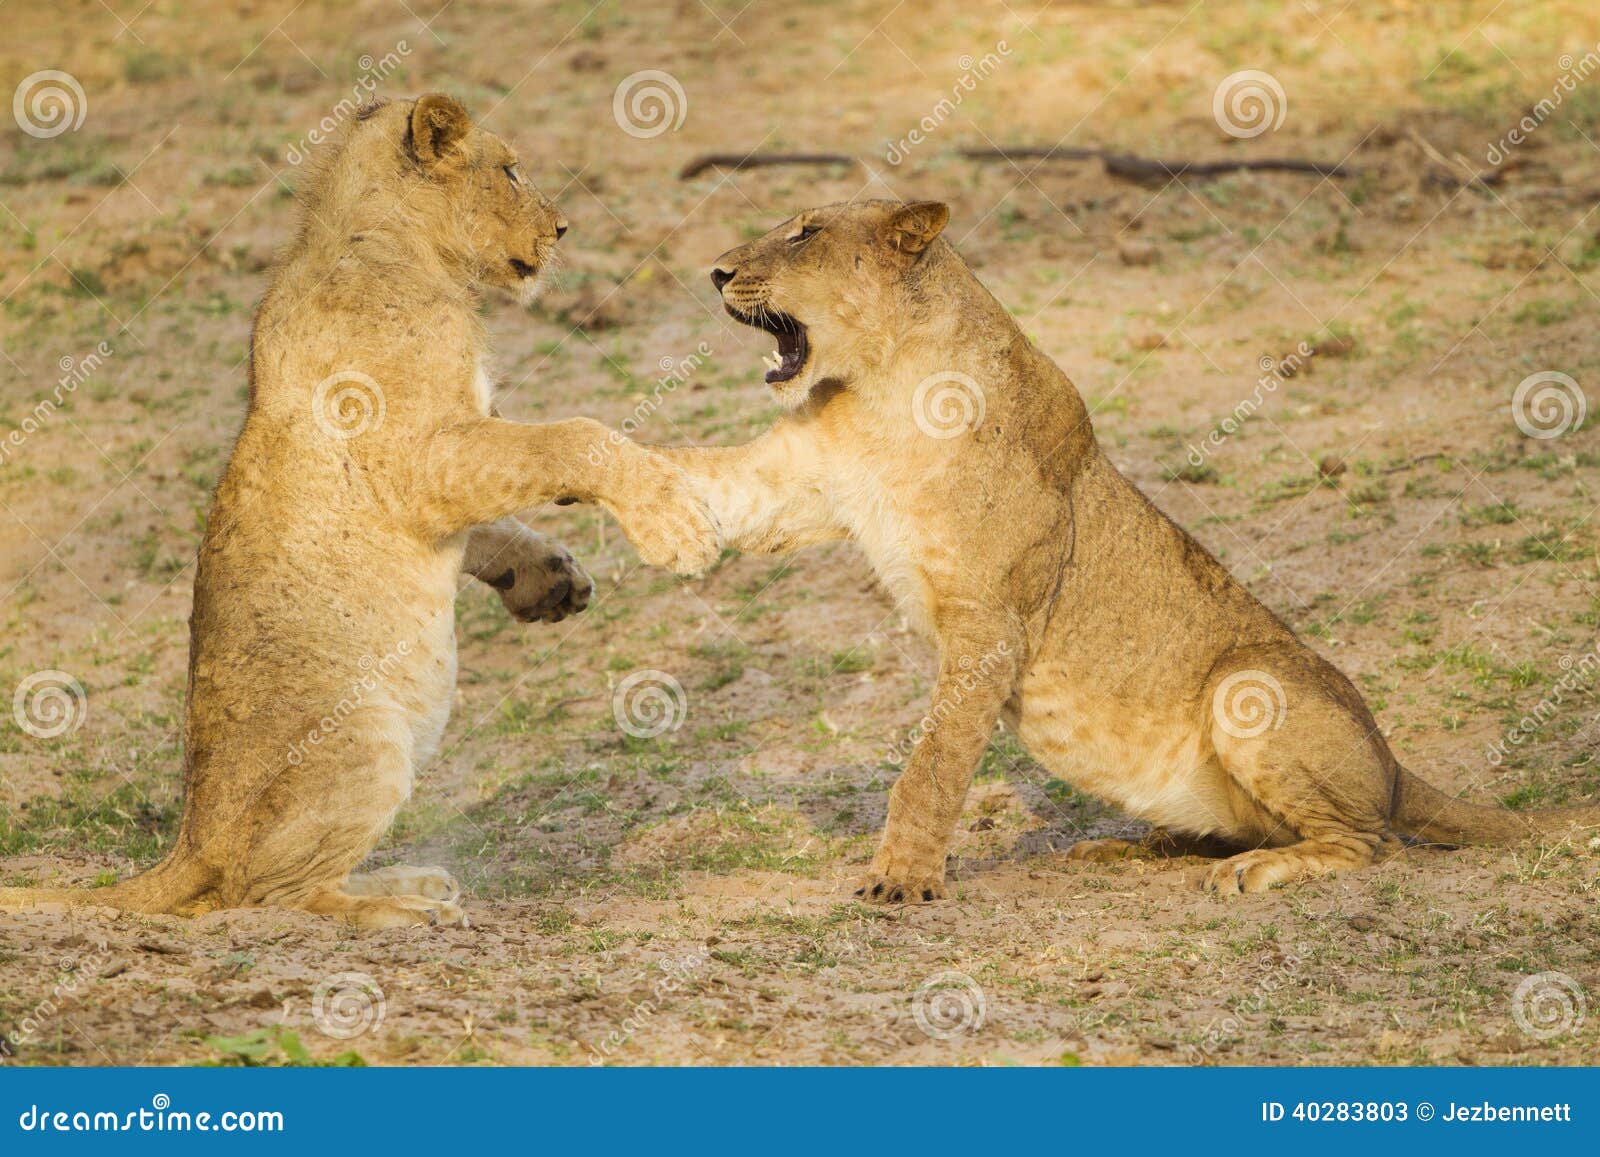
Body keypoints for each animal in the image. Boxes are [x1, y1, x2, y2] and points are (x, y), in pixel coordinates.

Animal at [0, 95, 717, 928]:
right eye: (510, 170)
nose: (563, 227)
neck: (408, 253)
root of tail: (190, 842)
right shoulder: (418, 457)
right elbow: (571, 437)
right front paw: (677, 522)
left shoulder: (450, 458)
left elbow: (499, 521)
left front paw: (551, 579)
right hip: (368, 742)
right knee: (266, 894)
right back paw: (405, 907)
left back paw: (419, 882)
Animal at [659, 198, 1599, 901]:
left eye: (806, 232)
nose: (713, 271)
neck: (883, 383)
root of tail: (1396, 762)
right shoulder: (805, 482)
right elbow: (712, 494)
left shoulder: (990, 621)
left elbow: (931, 764)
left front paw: (900, 879)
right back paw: (1130, 848)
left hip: (1250, 687)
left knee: (1368, 842)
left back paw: (1259, 869)